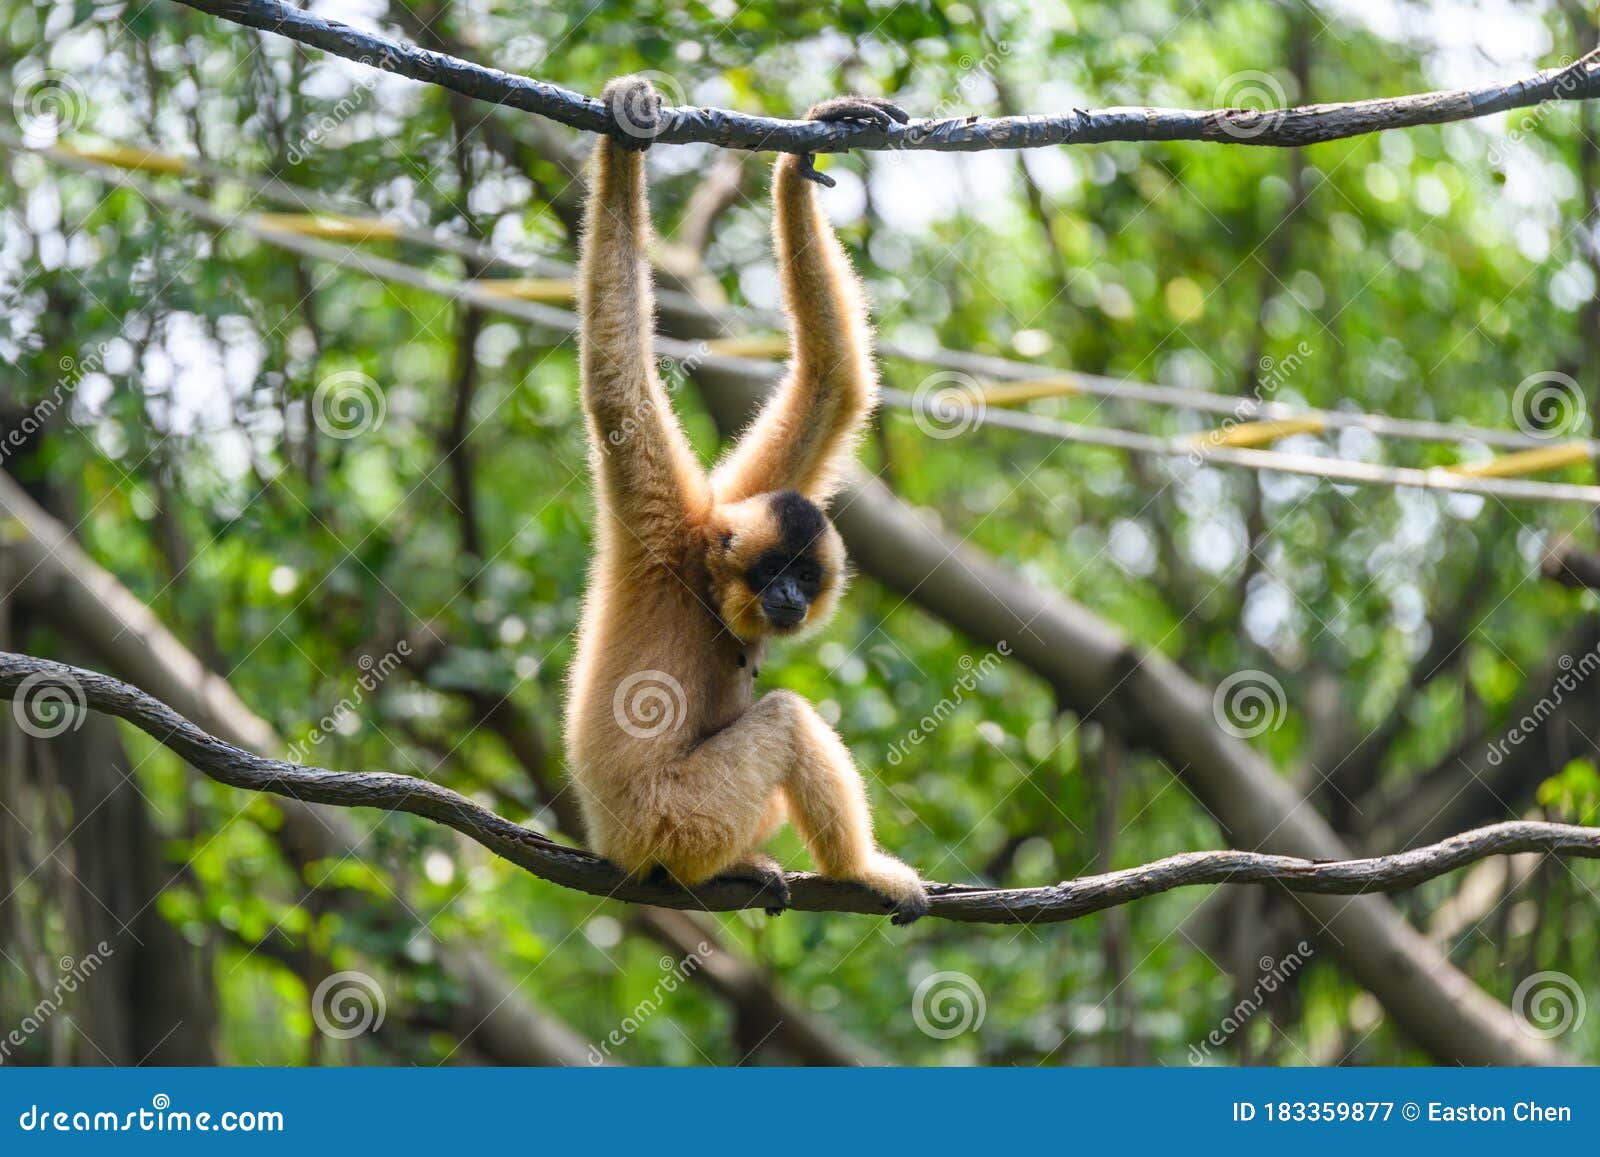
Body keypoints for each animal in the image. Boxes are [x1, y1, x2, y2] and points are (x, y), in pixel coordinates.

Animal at [562, 76, 928, 924]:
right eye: (772, 574)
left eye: (804, 575)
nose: (789, 598)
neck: (704, 581)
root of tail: (613, 842)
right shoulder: (664, 526)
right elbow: (617, 389)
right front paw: (625, 143)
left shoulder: (725, 503)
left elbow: (831, 388)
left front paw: (801, 162)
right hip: (674, 820)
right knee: (786, 722)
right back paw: (858, 869)